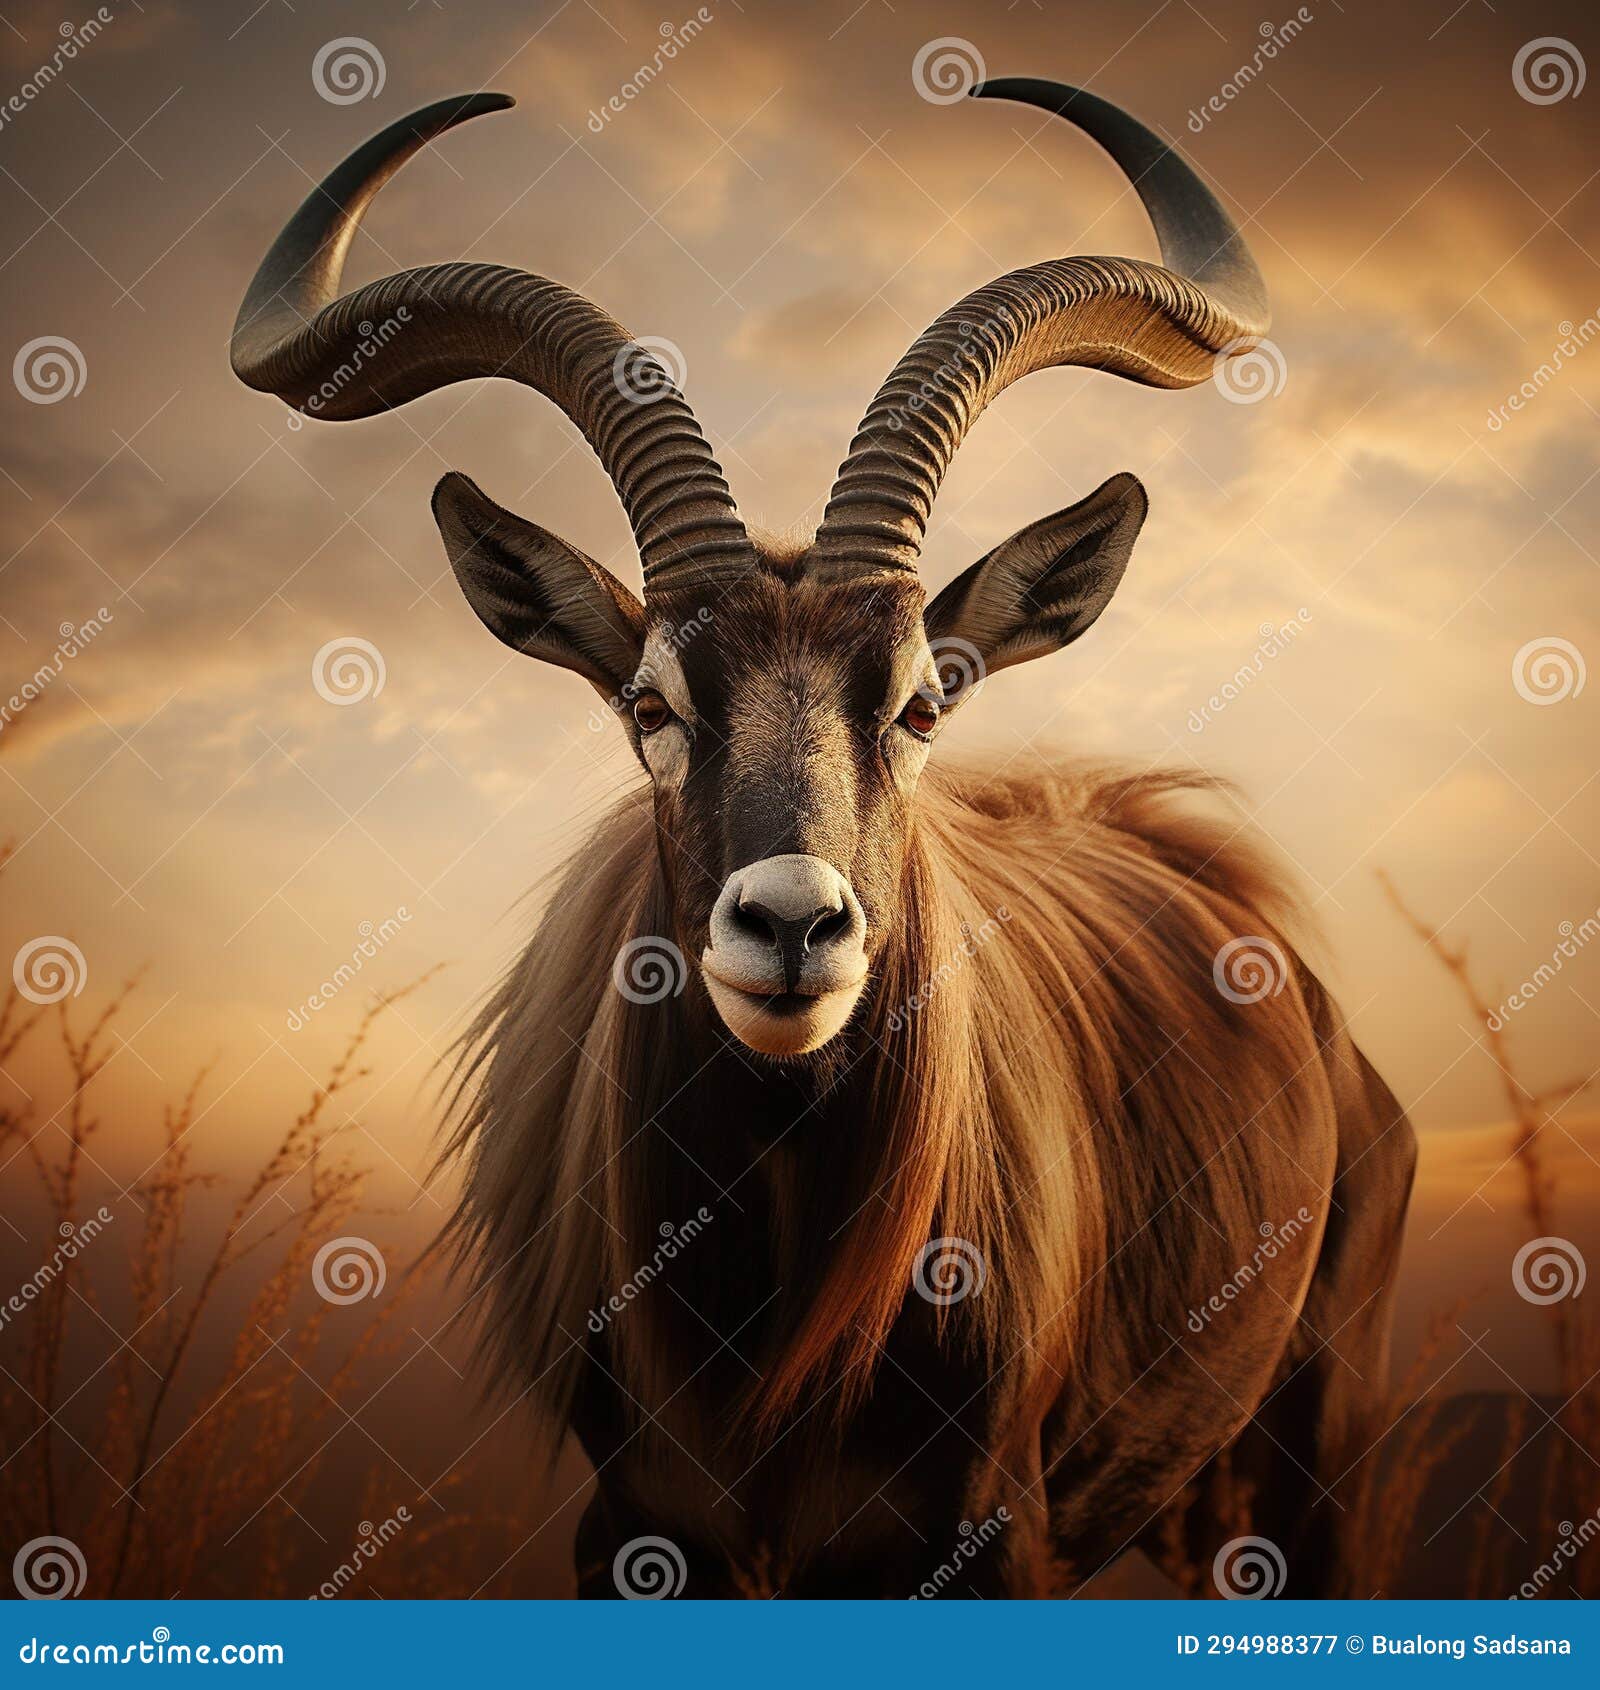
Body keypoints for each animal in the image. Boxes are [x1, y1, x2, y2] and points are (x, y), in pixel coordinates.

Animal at [232, 77, 1415, 1599]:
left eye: (920, 699)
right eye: (650, 702)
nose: (790, 928)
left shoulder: (992, 1539)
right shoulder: (643, 1532)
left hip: (1321, 1453)